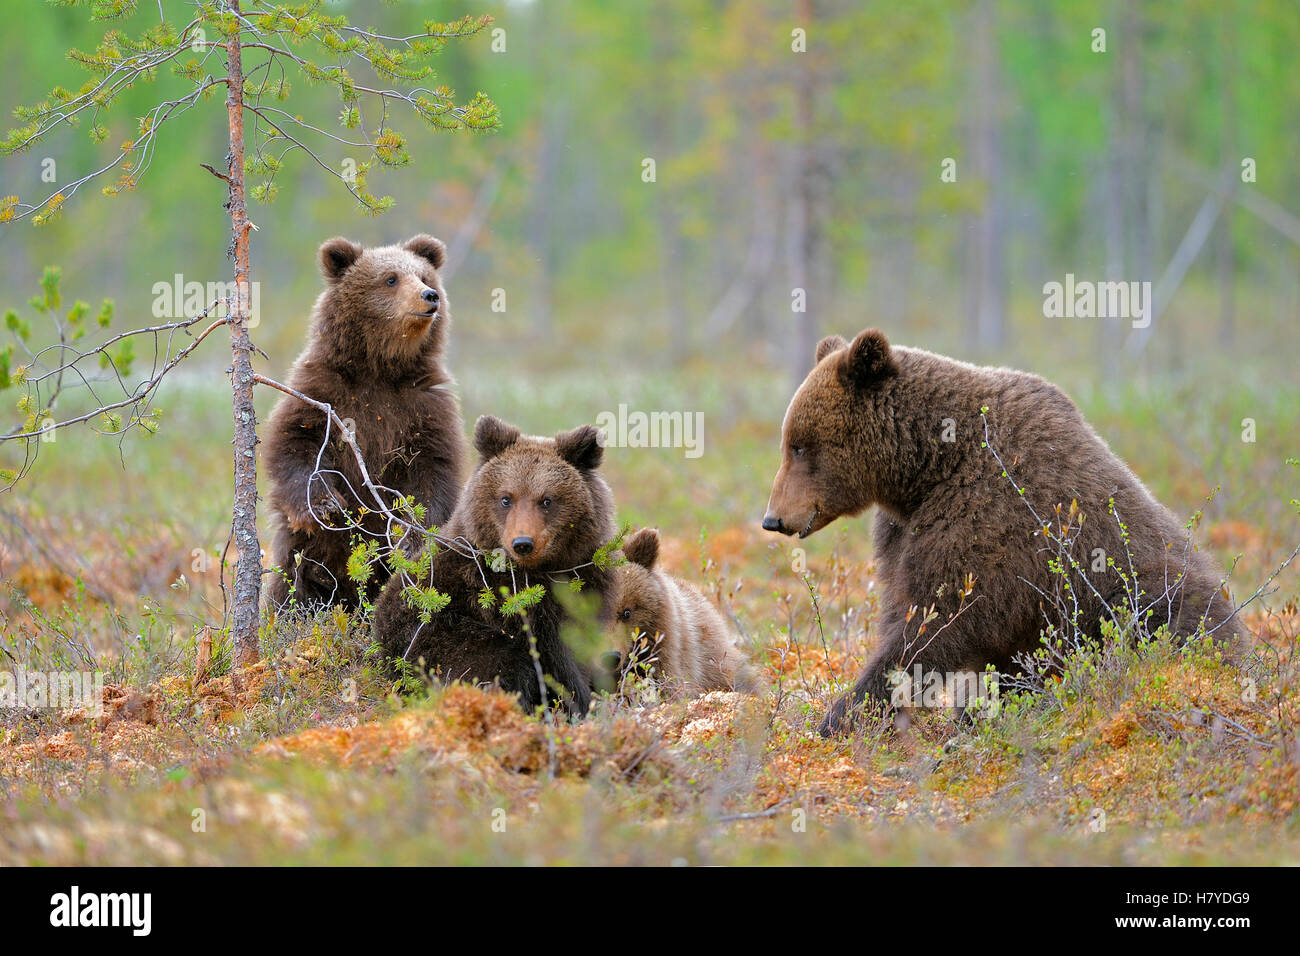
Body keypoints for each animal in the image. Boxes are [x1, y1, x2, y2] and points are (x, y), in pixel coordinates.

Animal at [262, 235, 466, 612]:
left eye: (424, 276)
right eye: (390, 279)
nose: (429, 296)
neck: (379, 368)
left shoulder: (424, 407)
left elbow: (434, 471)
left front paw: (412, 539)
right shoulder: (322, 389)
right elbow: (295, 442)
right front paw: (325, 503)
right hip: (305, 551)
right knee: (292, 585)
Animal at [372, 415, 617, 717]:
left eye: (546, 500)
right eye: (506, 498)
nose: (523, 543)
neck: (543, 569)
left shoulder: (587, 581)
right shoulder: (507, 600)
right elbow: (554, 656)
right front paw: (582, 702)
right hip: (433, 634)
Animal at [761, 328, 1241, 736]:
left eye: (799, 445)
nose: (772, 519)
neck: (927, 470)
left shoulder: (987, 524)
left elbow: (936, 624)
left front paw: (842, 714)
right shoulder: (904, 532)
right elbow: (907, 608)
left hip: (1142, 603)